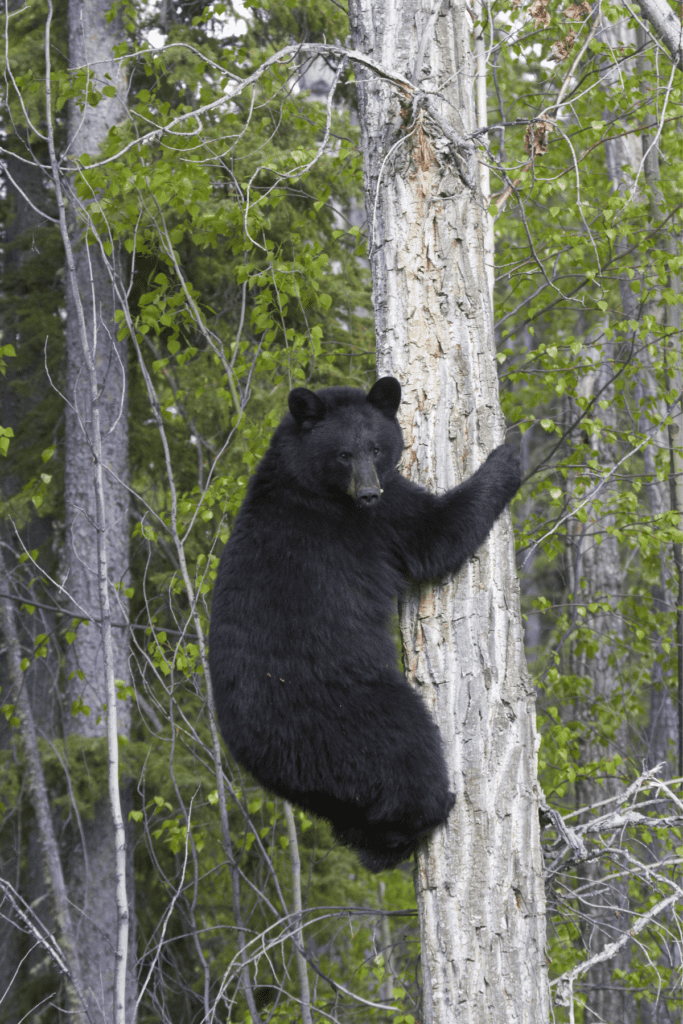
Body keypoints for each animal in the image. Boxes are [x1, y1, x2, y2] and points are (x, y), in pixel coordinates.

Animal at [208, 377, 520, 872]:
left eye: (375, 447)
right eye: (343, 453)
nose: (368, 492)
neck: (302, 473)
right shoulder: (382, 519)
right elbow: (436, 533)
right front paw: (509, 454)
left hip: (319, 791)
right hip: (362, 715)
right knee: (410, 754)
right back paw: (438, 805)